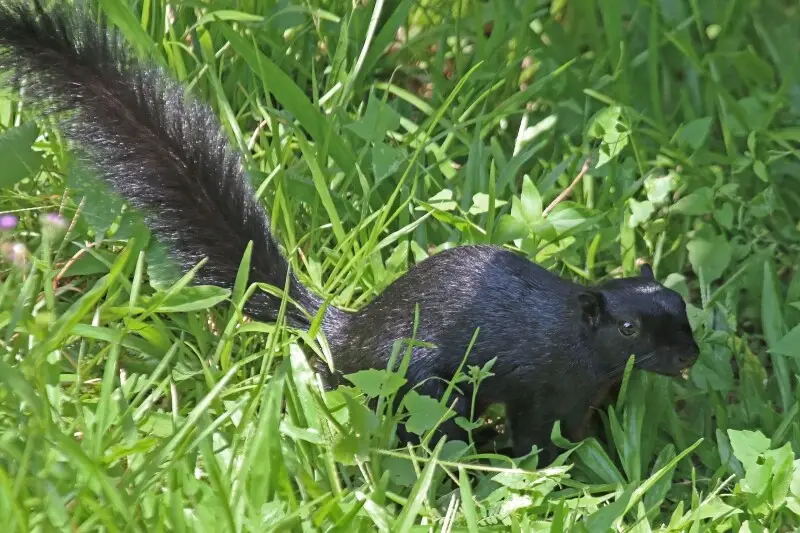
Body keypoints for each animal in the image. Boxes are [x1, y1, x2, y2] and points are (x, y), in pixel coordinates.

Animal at [0, 1, 700, 461]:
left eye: (683, 305)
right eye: (629, 329)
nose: (690, 356)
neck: (576, 339)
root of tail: (342, 334)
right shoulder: (544, 382)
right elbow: (538, 434)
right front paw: (549, 465)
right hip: (417, 382)